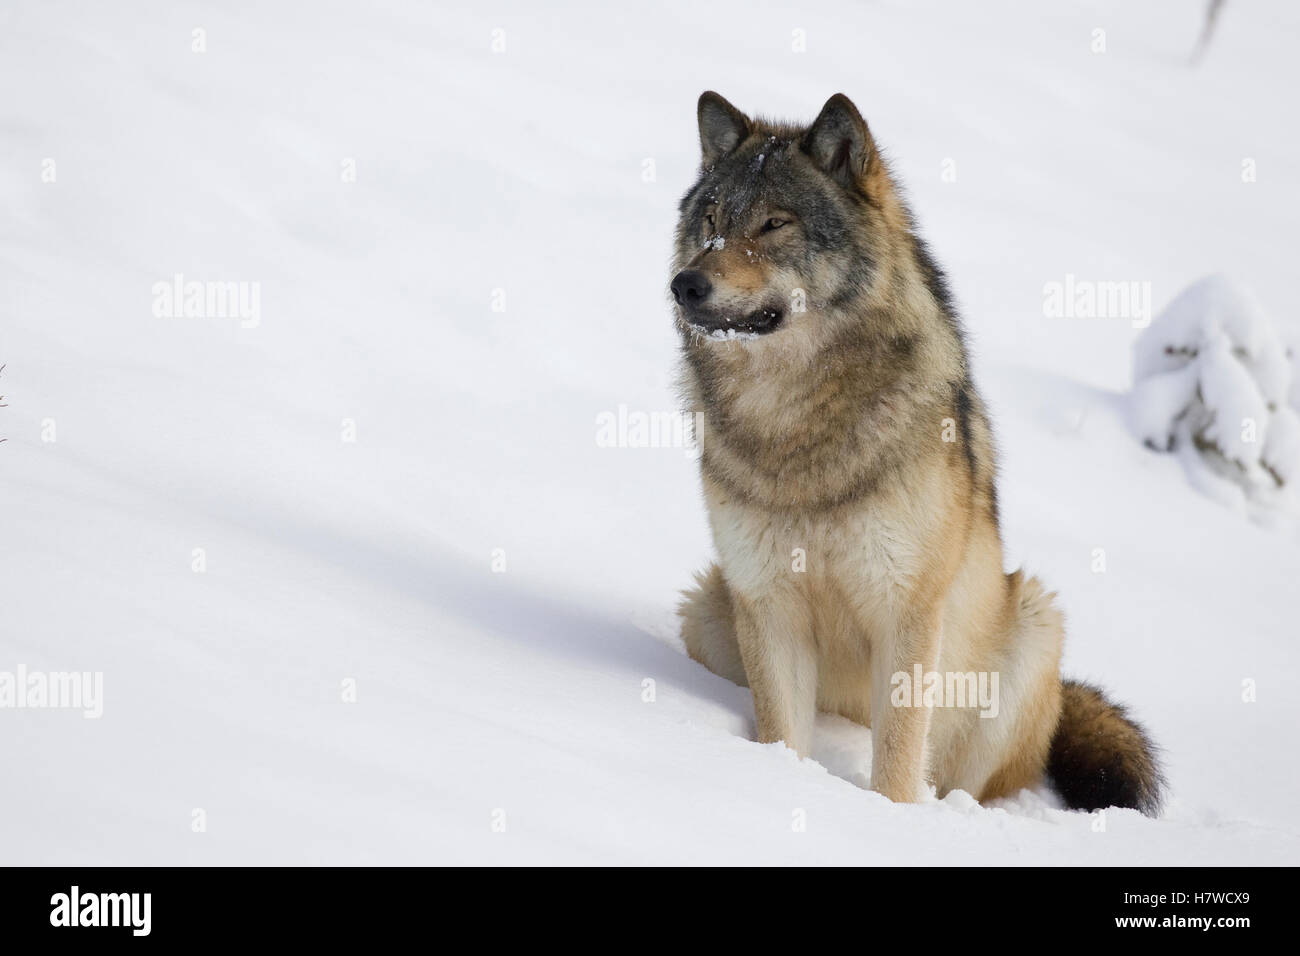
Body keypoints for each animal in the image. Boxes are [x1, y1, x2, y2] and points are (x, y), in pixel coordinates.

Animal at [672, 92, 1164, 814]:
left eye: (774, 224)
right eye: (711, 220)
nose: (685, 284)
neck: (794, 422)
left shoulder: (905, 608)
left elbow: (901, 755)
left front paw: (890, 818)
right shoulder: (767, 602)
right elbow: (783, 735)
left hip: (1032, 624)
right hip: (708, 609)